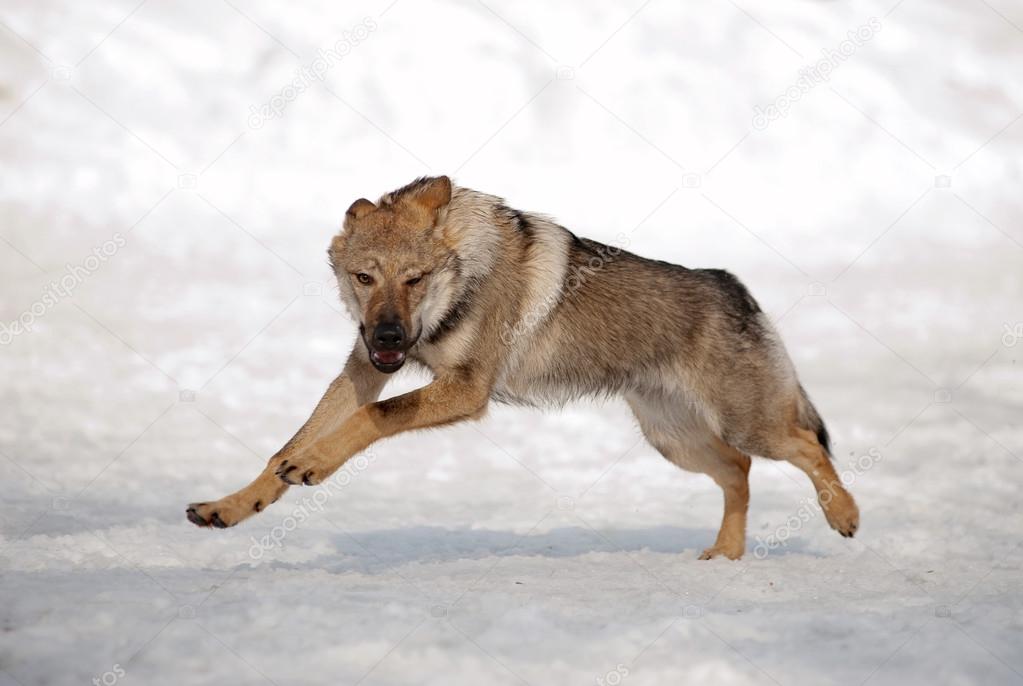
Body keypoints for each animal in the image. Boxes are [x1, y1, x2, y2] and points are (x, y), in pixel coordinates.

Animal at [186, 175, 859, 559]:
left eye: (414, 279)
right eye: (364, 278)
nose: (389, 334)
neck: (463, 274)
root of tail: (734, 287)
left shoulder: (464, 391)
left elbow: (370, 422)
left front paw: (316, 466)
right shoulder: (365, 369)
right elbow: (283, 450)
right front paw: (232, 506)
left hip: (747, 425)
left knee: (805, 448)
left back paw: (843, 515)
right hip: (674, 440)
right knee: (740, 473)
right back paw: (725, 558)